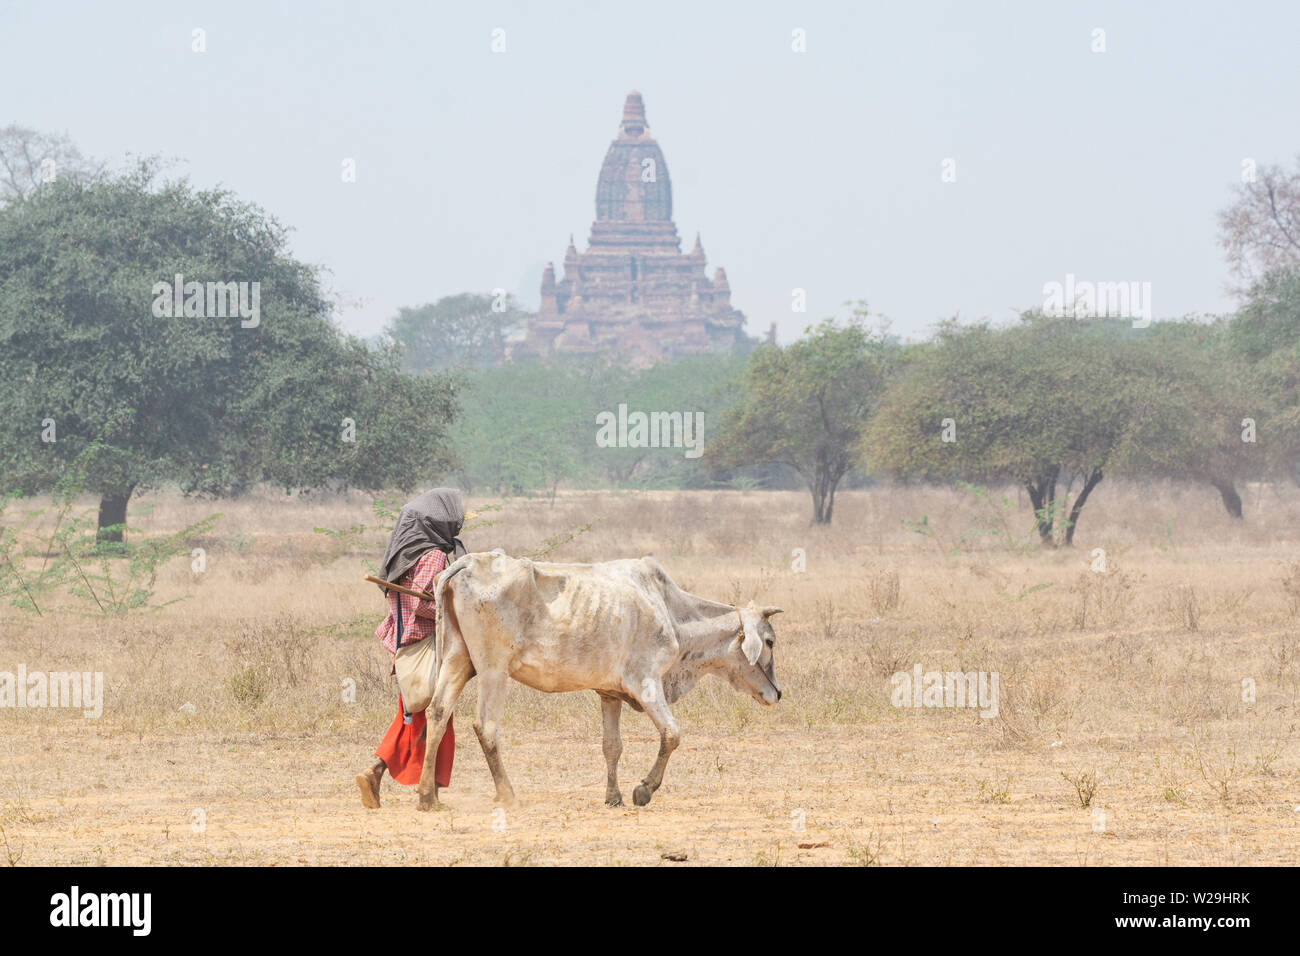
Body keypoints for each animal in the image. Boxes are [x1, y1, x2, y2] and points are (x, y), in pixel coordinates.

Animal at [416, 551, 783, 810]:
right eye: (770, 641)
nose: (777, 693)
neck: (670, 611)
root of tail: (466, 562)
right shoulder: (647, 683)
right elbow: (672, 735)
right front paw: (643, 790)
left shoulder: (610, 694)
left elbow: (612, 746)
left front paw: (613, 796)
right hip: (494, 669)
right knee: (485, 727)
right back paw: (507, 794)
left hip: (457, 660)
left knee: (437, 713)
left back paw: (428, 796)